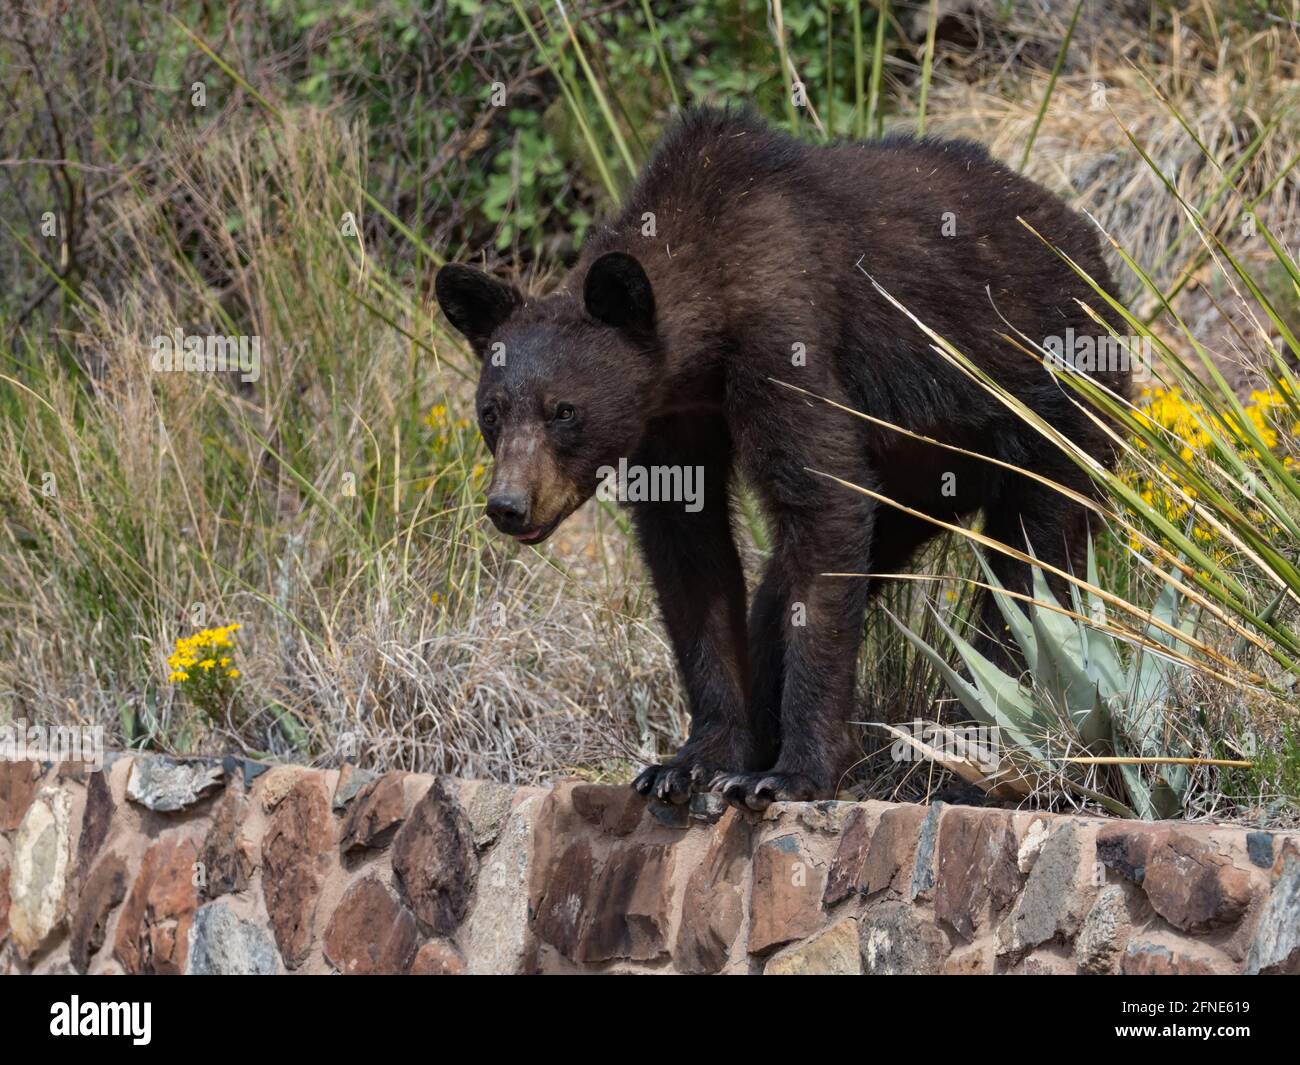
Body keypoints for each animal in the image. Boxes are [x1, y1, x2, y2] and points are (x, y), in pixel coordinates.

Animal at [435, 106, 1130, 810]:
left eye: (564, 411)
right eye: (491, 412)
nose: (509, 505)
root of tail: (1090, 247)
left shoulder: (786, 340)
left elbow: (821, 499)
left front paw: (791, 773)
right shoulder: (672, 418)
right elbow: (691, 552)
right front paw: (691, 762)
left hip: (1060, 399)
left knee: (1032, 563)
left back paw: (994, 753)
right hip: (916, 477)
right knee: (793, 586)